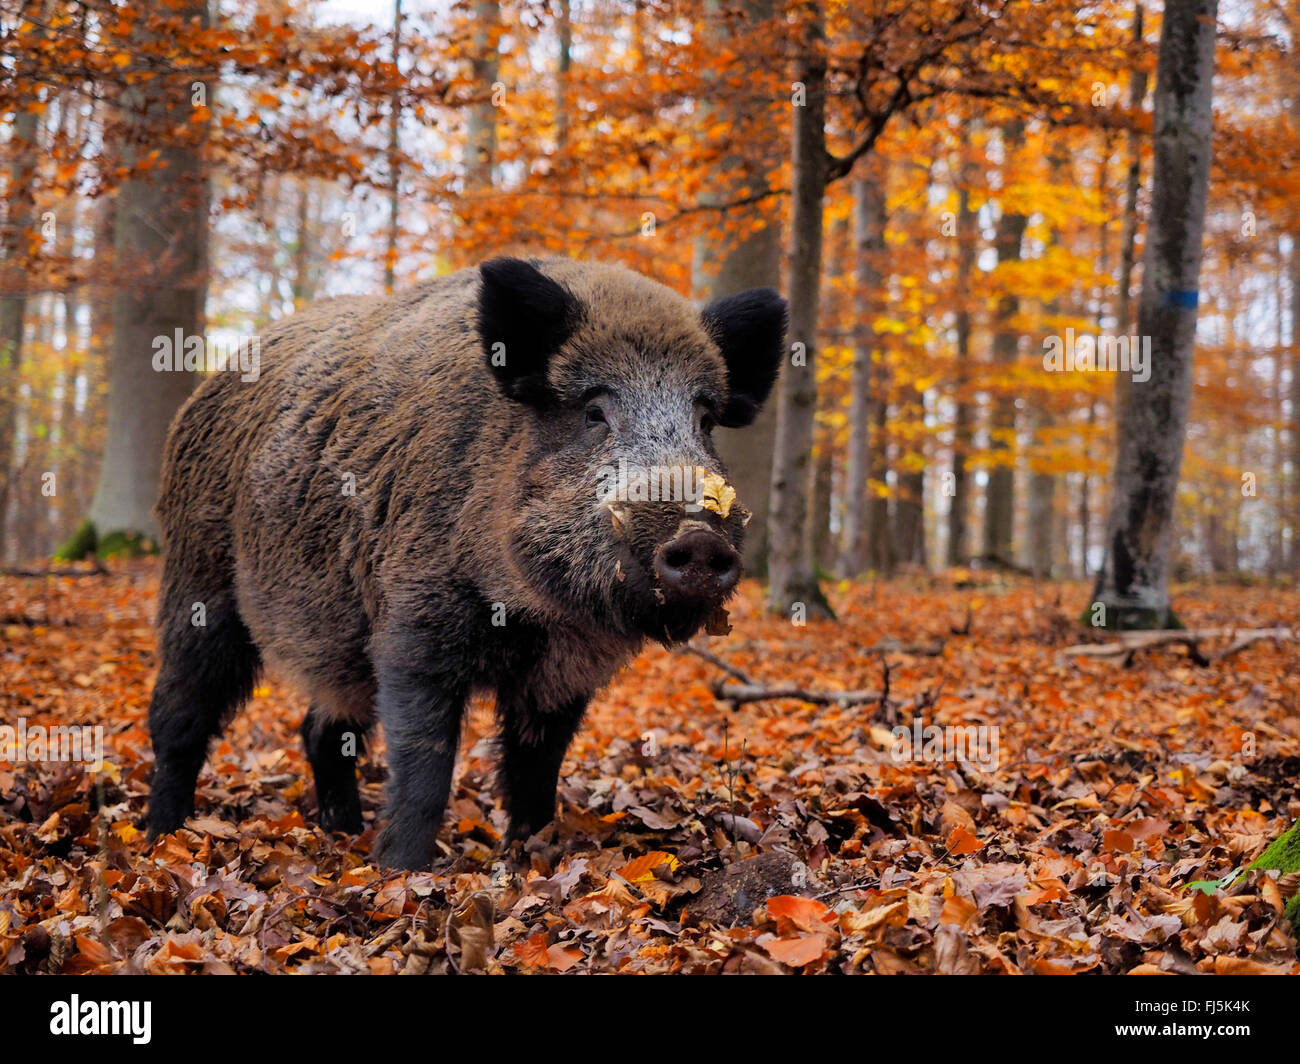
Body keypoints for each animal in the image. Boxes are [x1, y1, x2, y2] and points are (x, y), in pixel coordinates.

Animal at [145, 257, 786, 869]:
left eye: (705, 421)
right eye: (594, 411)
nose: (699, 537)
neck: (534, 616)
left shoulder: (565, 674)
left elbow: (536, 770)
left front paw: (530, 851)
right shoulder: (413, 627)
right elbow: (426, 767)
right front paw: (402, 872)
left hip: (335, 644)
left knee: (322, 729)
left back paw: (343, 834)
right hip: (198, 581)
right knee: (179, 717)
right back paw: (162, 838)